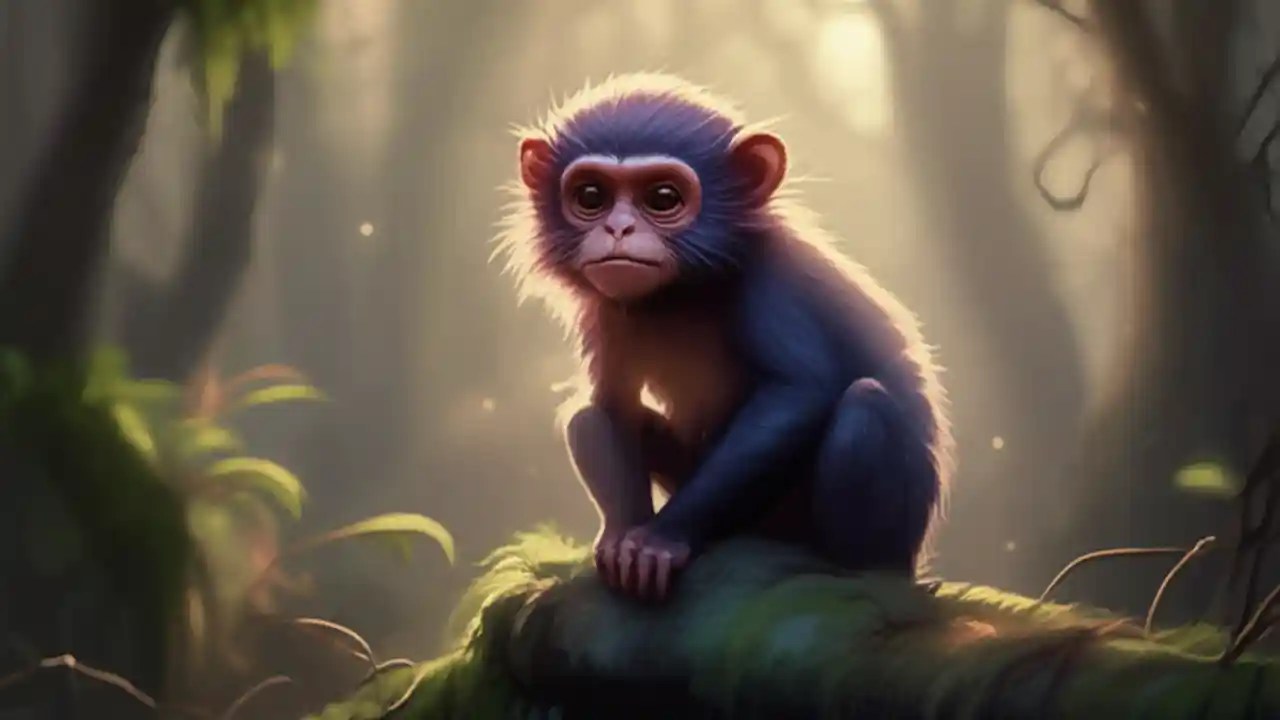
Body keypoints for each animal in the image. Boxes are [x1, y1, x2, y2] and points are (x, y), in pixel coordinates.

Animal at [497, 73, 953, 602]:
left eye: (663, 198)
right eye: (591, 196)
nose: (618, 227)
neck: (681, 292)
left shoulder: (769, 277)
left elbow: (795, 393)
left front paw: (659, 539)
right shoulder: (605, 313)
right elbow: (610, 406)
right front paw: (623, 538)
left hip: (888, 538)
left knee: (865, 406)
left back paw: (852, 573)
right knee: (584, 416)